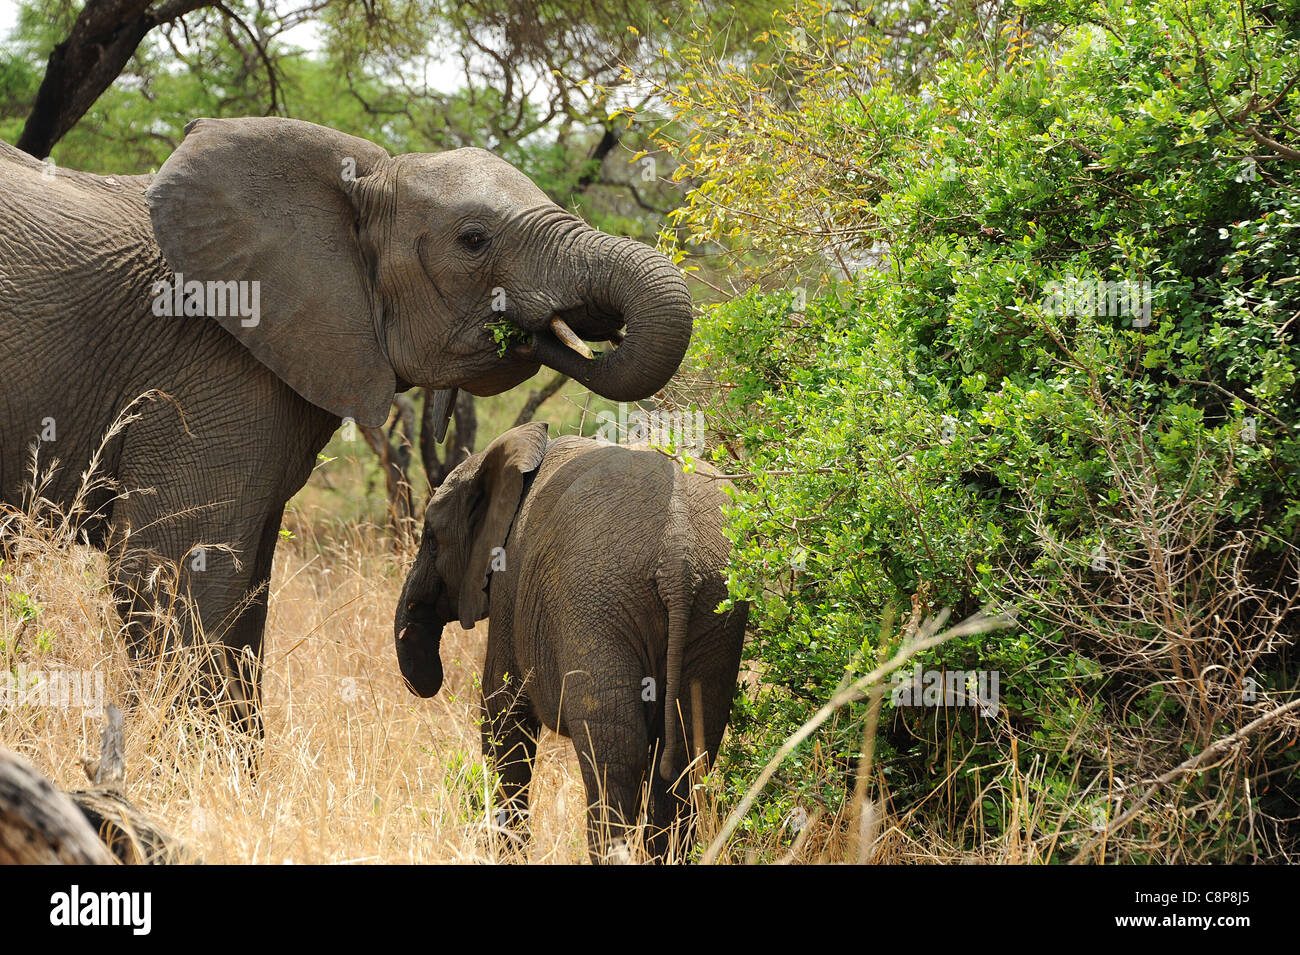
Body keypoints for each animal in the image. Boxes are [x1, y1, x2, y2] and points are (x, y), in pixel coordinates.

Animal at [393, 422, 748, 862]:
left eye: (430, 537)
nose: (429, 679)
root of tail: (678, 558)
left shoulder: (510, 592)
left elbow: (502, 718)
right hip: (715, 606)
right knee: (689, 749)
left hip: (597, 602)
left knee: (614, 751)